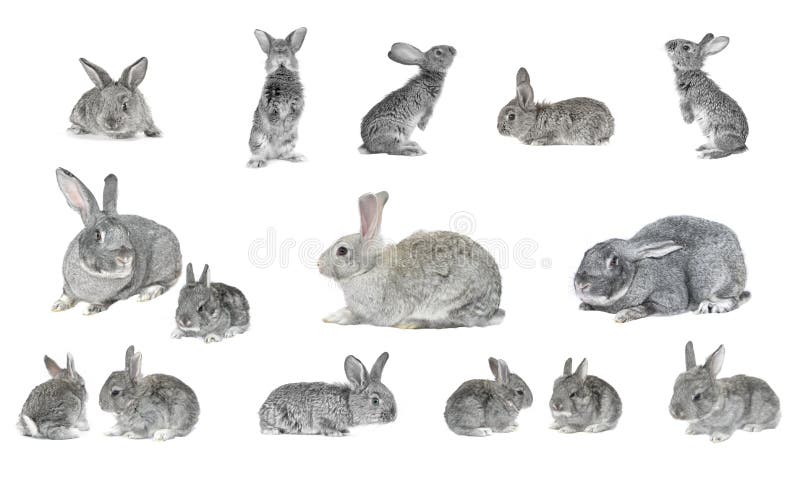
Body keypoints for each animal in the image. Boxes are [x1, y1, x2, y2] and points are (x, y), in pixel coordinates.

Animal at [52, 168, 182, 315]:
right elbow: (66, 295)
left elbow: (105, 301)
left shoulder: (116, 294)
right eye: (97, 235)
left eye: (128, 233)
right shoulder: (67, 286)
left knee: (166, 283)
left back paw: (147, 293)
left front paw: (91, 309)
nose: (125, 258)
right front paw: (57, 306)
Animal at [248, 27, 307, 168]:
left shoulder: (297, 104)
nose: (280, 52)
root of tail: (272, 154)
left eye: (287, 49)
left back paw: (296, 157)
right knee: (259, 153)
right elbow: (274, 119)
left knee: (283, 154)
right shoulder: (270, 104)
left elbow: (292, 116)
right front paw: (279, 130)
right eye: (273, 50)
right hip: (259, 137)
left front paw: (285, 128)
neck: (282, 70)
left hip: (291, 140)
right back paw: (257, 162)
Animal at [259, 352, 396, 436]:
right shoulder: (321, 417)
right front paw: (336, 433)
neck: (347, 404)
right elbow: (325, 427)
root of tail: (263, 407)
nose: (394, 416)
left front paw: (345, 431)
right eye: (375, 401)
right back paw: (273, 430)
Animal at [317, 191, 504, 329]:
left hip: (450, 302)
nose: (319, 264)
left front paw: (337, 317)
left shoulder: (376, 310)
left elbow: (359, 317)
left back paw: (409, 323)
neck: (369, 269)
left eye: (341, 251)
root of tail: (491, 310)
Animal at [574, 216, 749, 323]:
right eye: (586, 253)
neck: (636, 273)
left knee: (732, 300)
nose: (581, 285)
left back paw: (711, 307)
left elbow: (650, 306)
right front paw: (584, 307)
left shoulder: (670, 296)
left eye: (613, 261)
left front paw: (624, 315)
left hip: (715, 282)